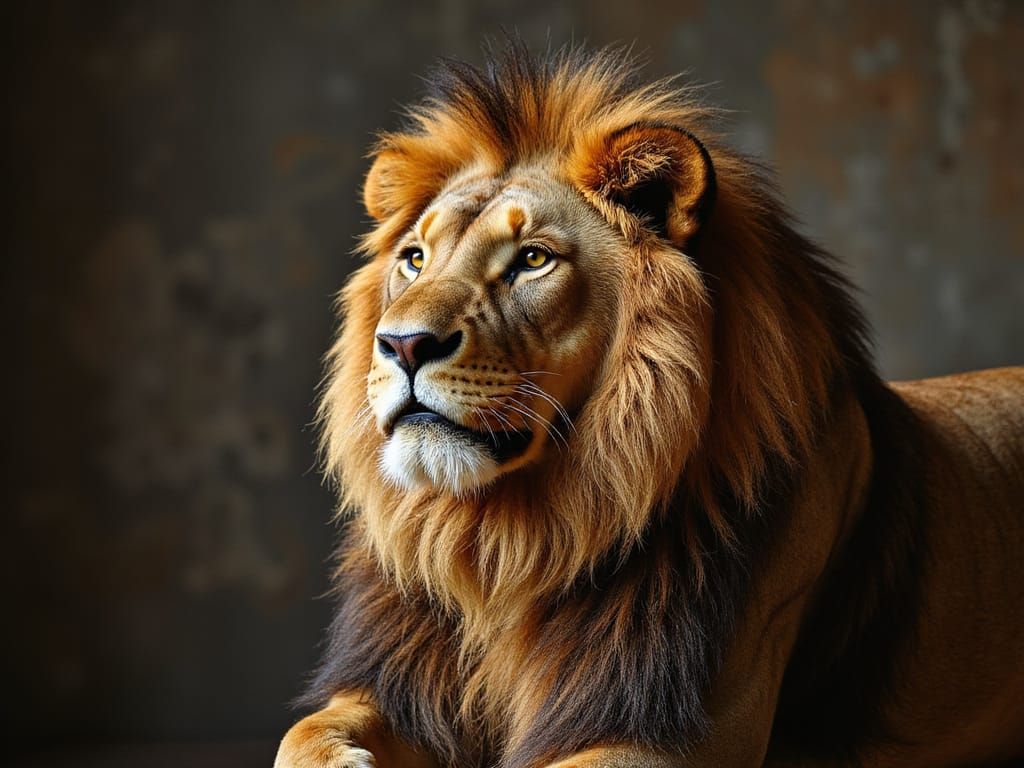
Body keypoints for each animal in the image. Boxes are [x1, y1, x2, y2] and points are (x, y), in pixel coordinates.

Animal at [275, 42, 1024, 768]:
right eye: (415, 257)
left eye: (533, 260)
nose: (402, 344)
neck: (505, 551)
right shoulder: (396, 689)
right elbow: (303, 737)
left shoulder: (671, 730)